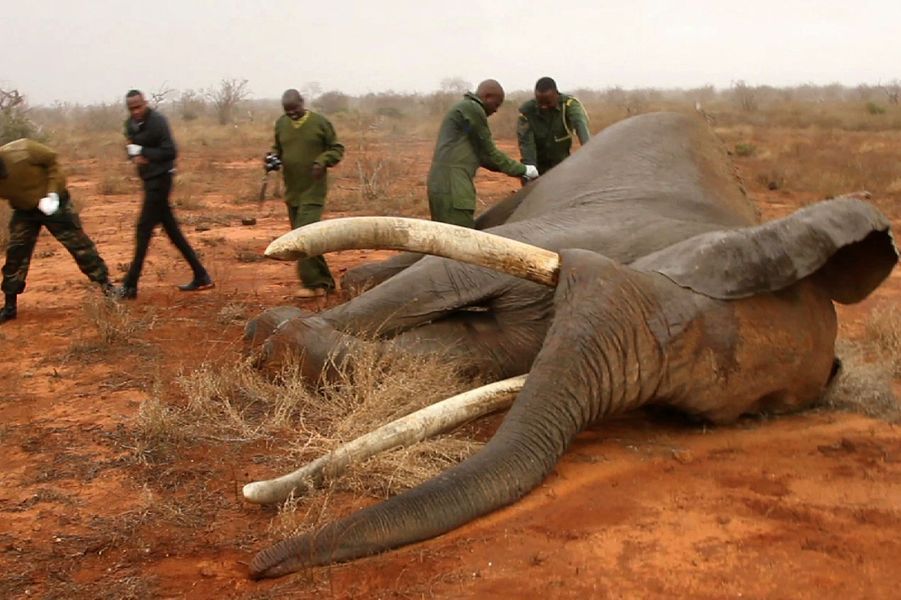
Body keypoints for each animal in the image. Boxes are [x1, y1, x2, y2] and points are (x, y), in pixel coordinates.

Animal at [242, 111, 898, 579]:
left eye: (692, 415)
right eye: (680, 317)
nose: (264, 565)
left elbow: (472, 353)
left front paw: (288, 346)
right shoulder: (587, 230)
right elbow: (449, 274)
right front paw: (268, 339)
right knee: (477, 227)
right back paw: (341, 282)